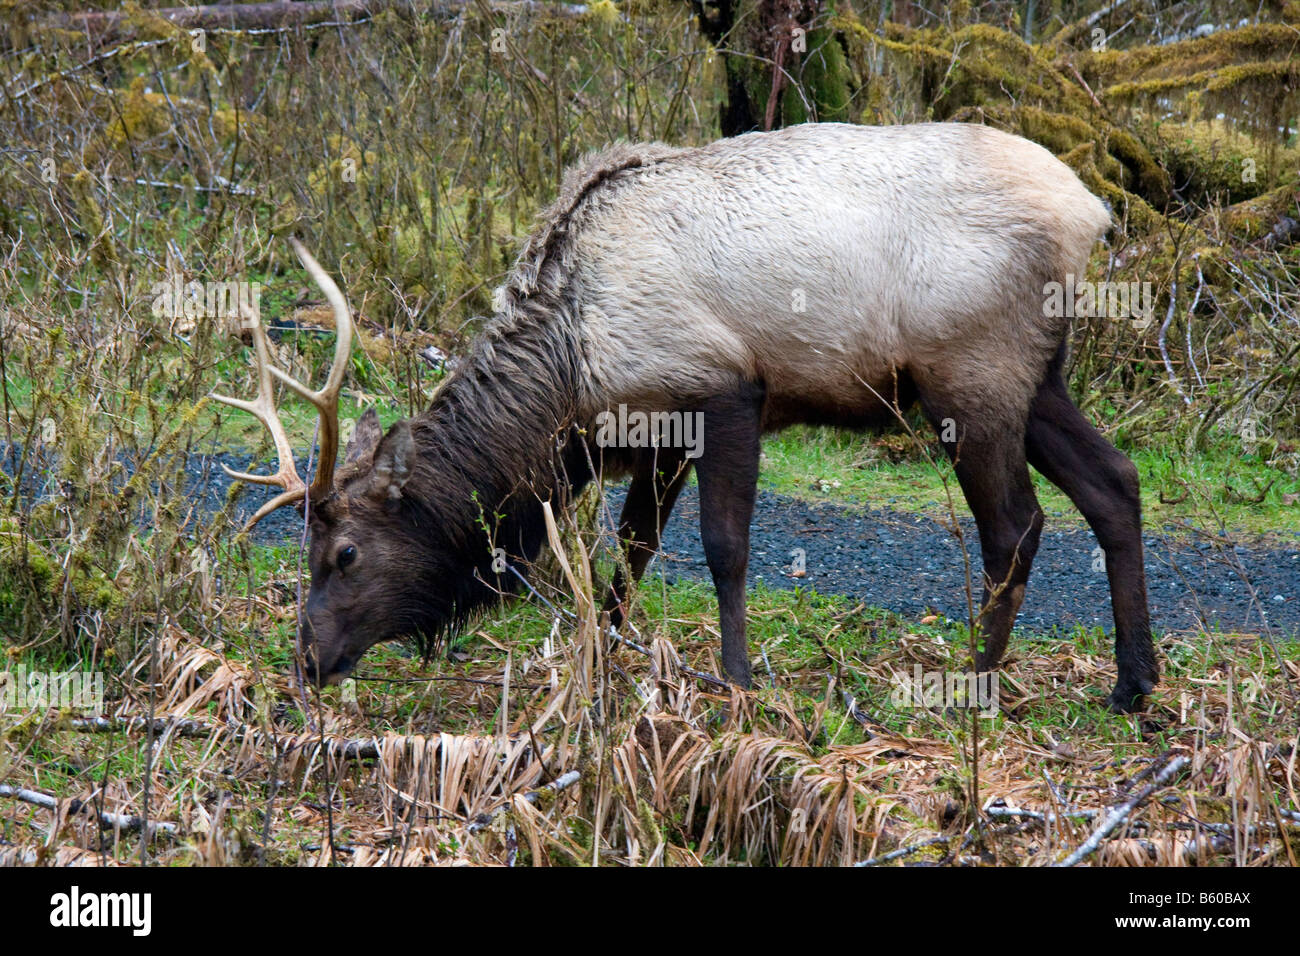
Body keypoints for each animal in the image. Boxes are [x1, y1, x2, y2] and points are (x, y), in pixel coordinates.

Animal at [213, 122, 1160, 713]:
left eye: (344, 553)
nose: (305, 658)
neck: (569, 378)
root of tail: (1093, 215)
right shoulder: (657, 434)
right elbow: (629, 553)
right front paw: (599, 665)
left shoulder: (724, 389)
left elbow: (725, 547)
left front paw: (735, 680)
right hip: (1038, 376)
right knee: (1115, 483)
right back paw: (1133, 683)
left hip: (970, 372)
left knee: (1018, 525)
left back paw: (973, 682)